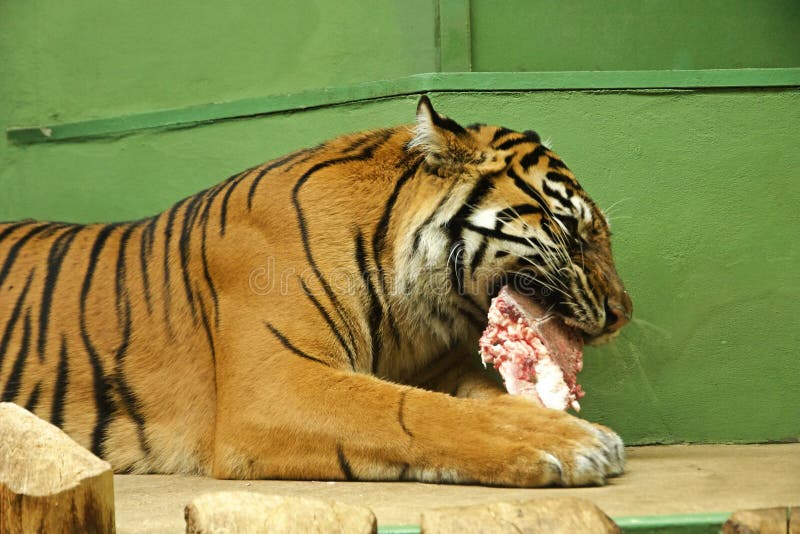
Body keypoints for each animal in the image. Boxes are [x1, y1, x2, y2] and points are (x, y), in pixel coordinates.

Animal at [0, 96, 632, 487]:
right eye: (575, 232)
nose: (623, 315)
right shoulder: (276, 384)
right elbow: (415, 413)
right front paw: (577, 443)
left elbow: (475, 398)